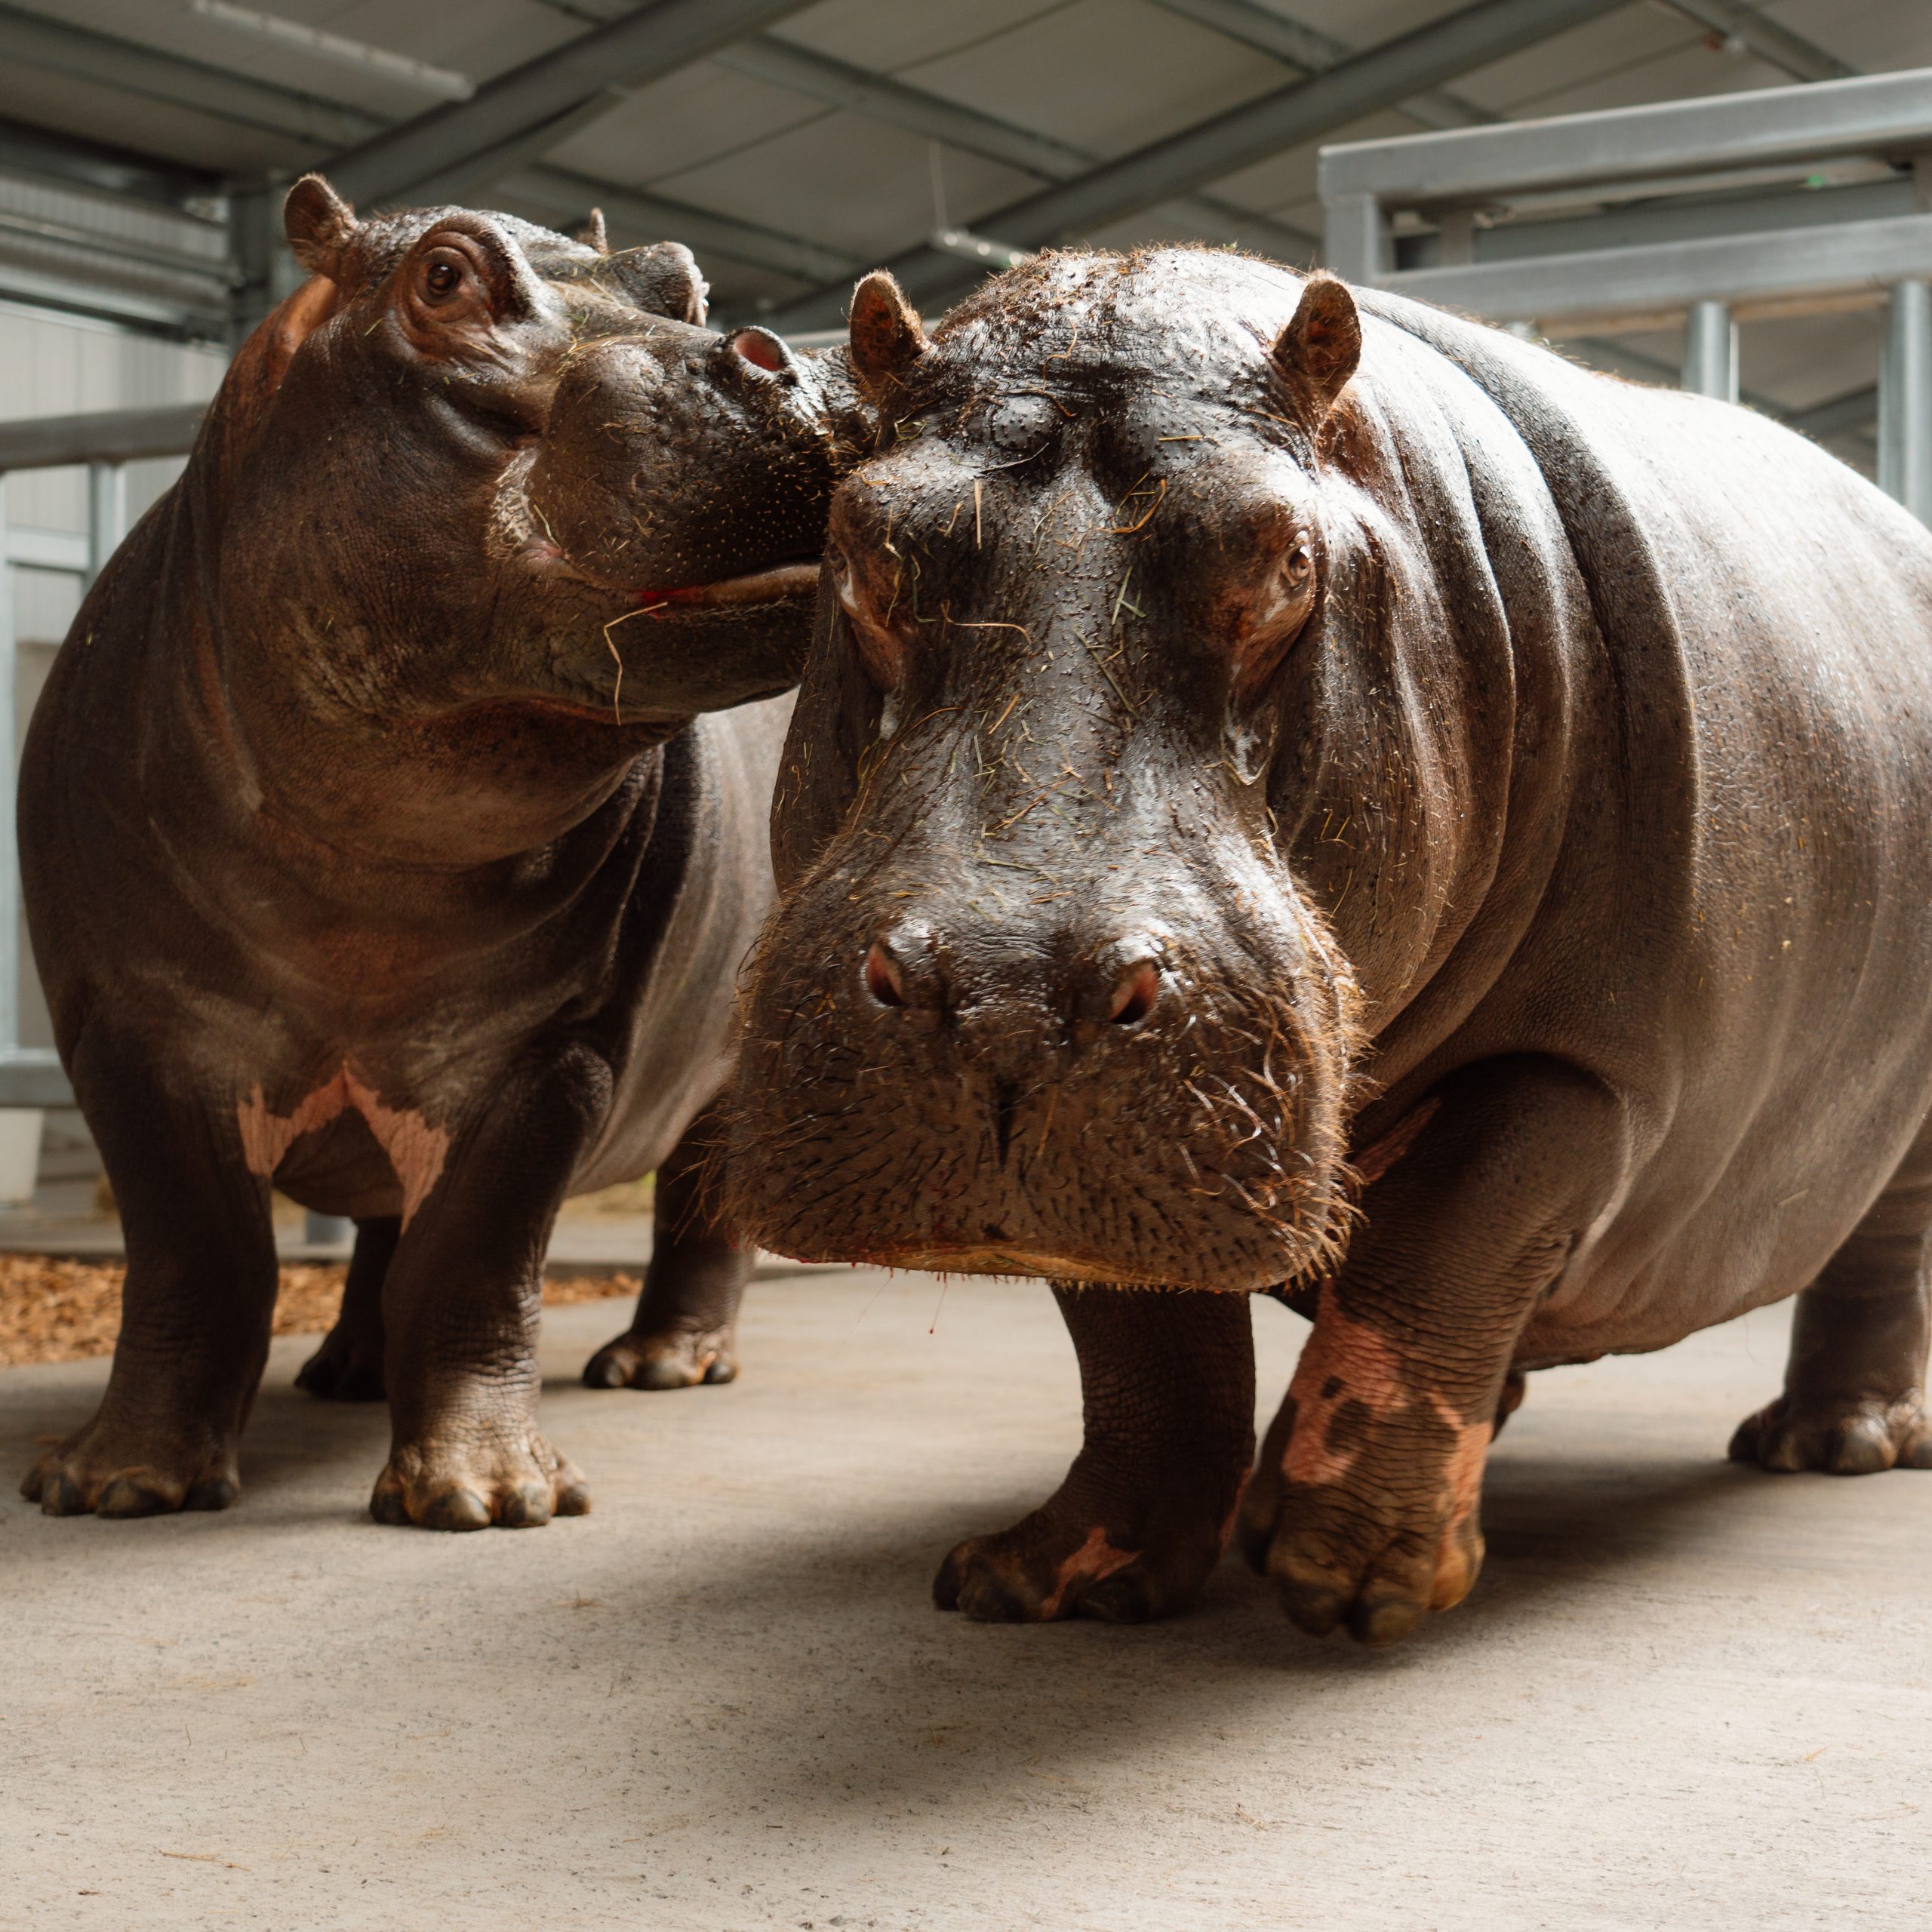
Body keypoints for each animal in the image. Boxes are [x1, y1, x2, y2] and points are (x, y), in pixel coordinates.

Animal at [20, 175, 864, 1528]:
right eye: (444, 275)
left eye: (684, 281)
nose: (787, 356)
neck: (359, 877)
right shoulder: (129, 1033)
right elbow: (198, 1255)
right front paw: (114, 1488)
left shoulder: (554, 1048)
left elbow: (474, 1256)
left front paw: (488, 1499)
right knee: (380, 1224)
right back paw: (349, 1373)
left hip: (730, 1058)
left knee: (702, 1207)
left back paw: (661, 1366)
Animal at [724, 246, 1932, 1643]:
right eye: (861, 552)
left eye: (1286, 566)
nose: (1005, 998)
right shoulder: (1112, 1175)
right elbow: (1139, 1338)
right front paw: (1048, 1580)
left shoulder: (1588, 1071)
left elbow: (1445, 1240)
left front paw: (1346, 1579)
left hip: (1898, 1125)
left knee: (1878, 1248)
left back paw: (1831, 1443)